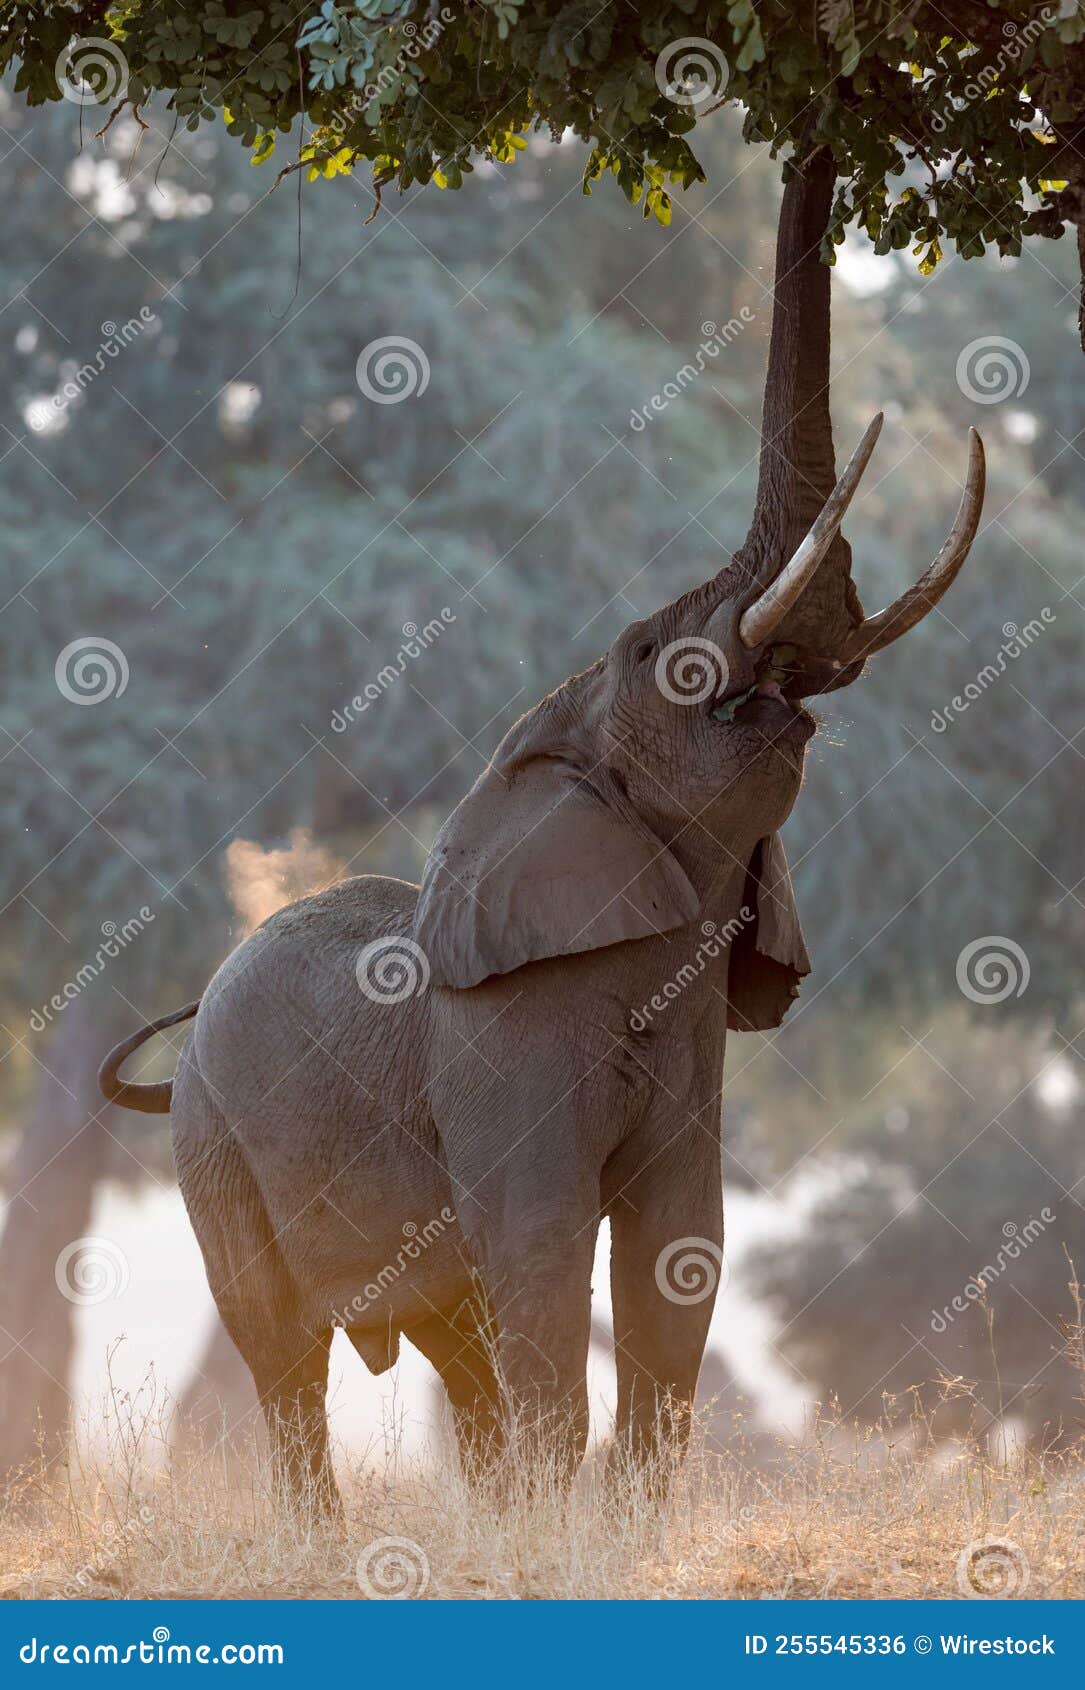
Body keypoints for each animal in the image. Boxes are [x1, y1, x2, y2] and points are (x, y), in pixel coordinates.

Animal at [99, 151, 986, 1514]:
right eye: (655, 655)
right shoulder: (499, 1039)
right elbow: (539, 1242)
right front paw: (573, 1527)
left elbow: (681, 1241)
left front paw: (618, 1528)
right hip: (214, 1147)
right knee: (282, 1349)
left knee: (448, 1337)